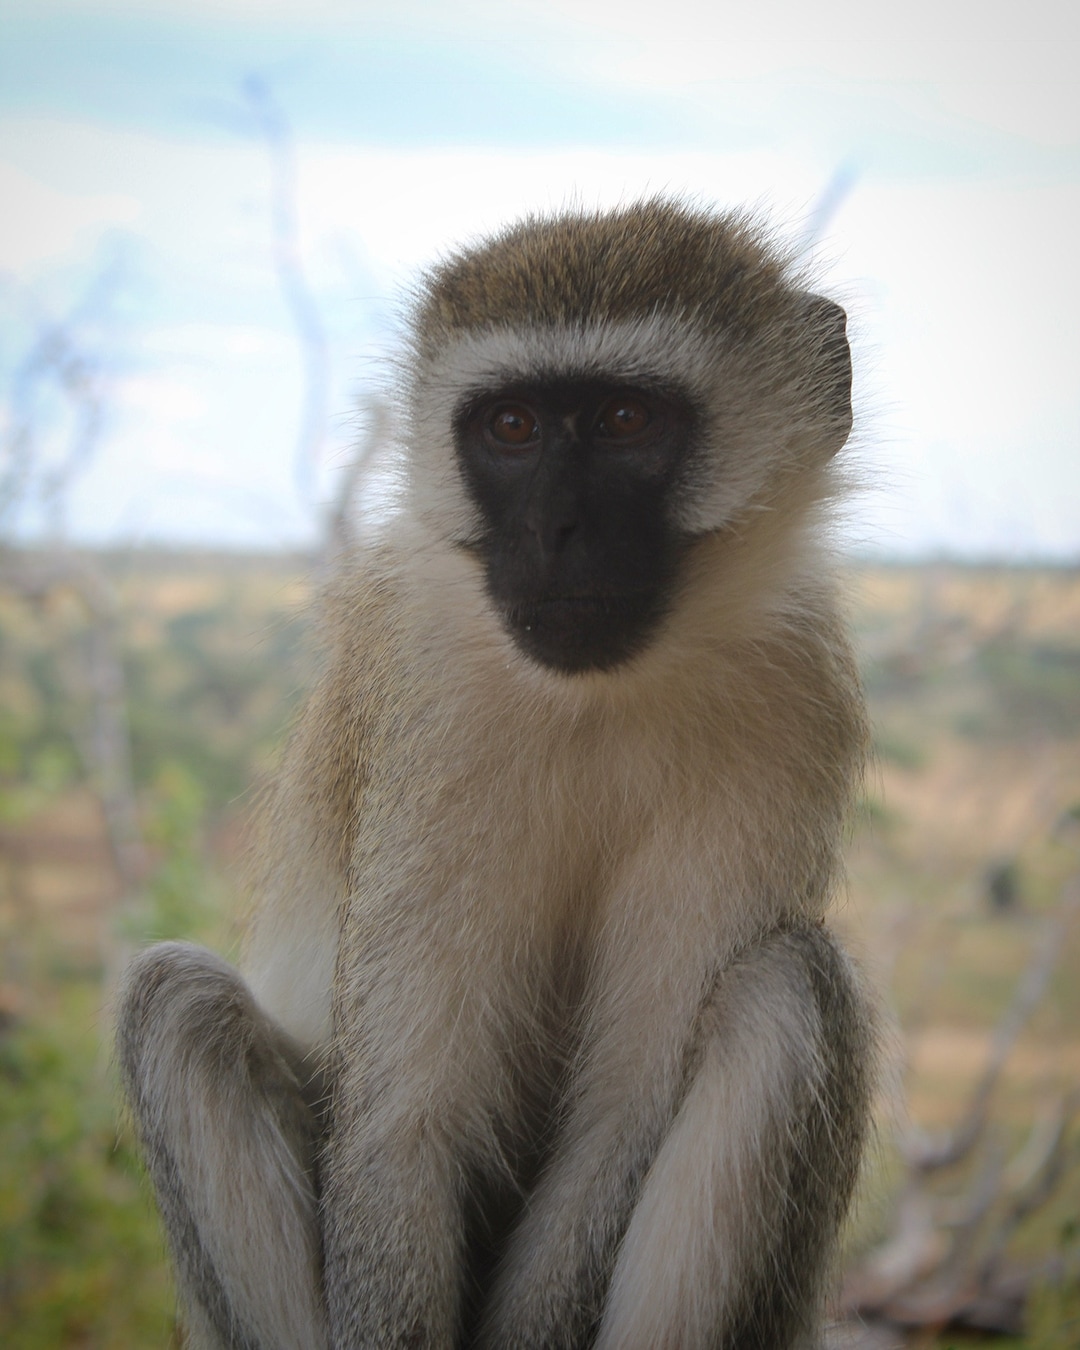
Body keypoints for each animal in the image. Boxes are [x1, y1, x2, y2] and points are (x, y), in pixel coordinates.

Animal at [117, 198, 875, 1350]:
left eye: (624, 420)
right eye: (511, 429)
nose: (554, 531)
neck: (597, 696)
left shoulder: (793, 704)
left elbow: (618, 1118)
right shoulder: (429, 708)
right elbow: (403, 1128)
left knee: (786, 991)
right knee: (179, 1008)